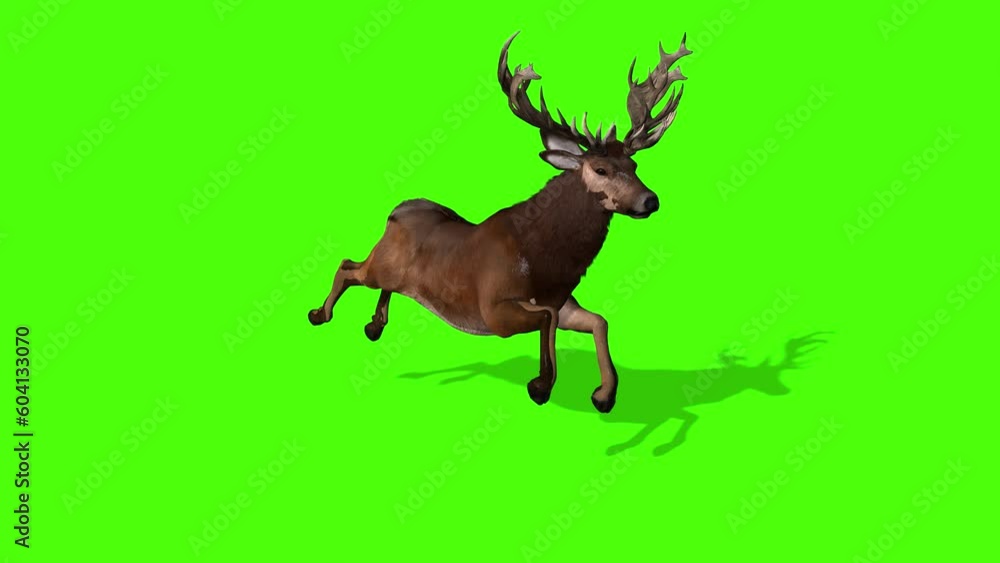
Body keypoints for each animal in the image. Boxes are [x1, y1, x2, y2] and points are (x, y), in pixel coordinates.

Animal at [308, 31, 692, 414]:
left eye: (634, 166)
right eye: (600, 169)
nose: (650, 200)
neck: (547, 262)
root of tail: (394, 212)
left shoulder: (562, 301)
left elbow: (599, 321)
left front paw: (604, 394)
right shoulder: (492, 308)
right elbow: (547, 320)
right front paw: (541, 385)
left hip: (391, 272)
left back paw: (375, 324)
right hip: (381, 266)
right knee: (347, 265)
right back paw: (319, 314)